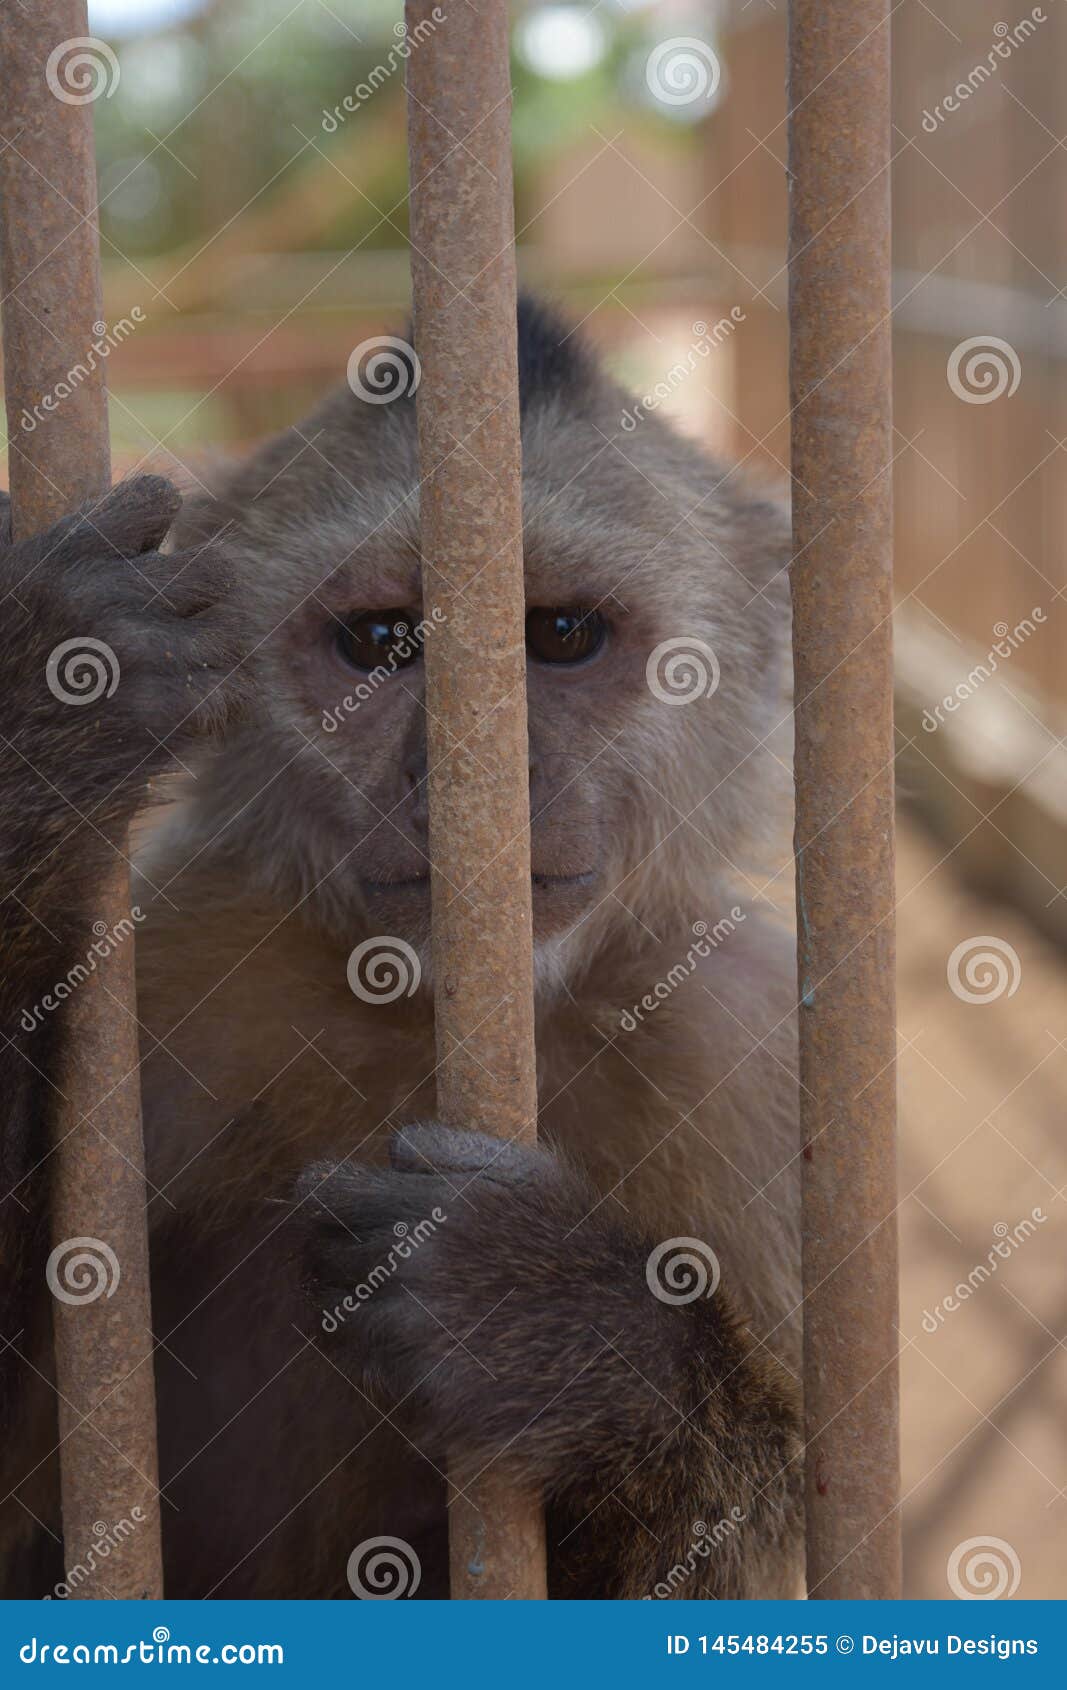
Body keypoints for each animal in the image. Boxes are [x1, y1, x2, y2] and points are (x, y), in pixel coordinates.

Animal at [0, 297, 802, 1599]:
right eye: (381, 640)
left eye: (560, 635)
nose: (472, 775)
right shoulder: (190, 955)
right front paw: (45, 695)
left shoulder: (743, 1045)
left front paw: (550, 1327)